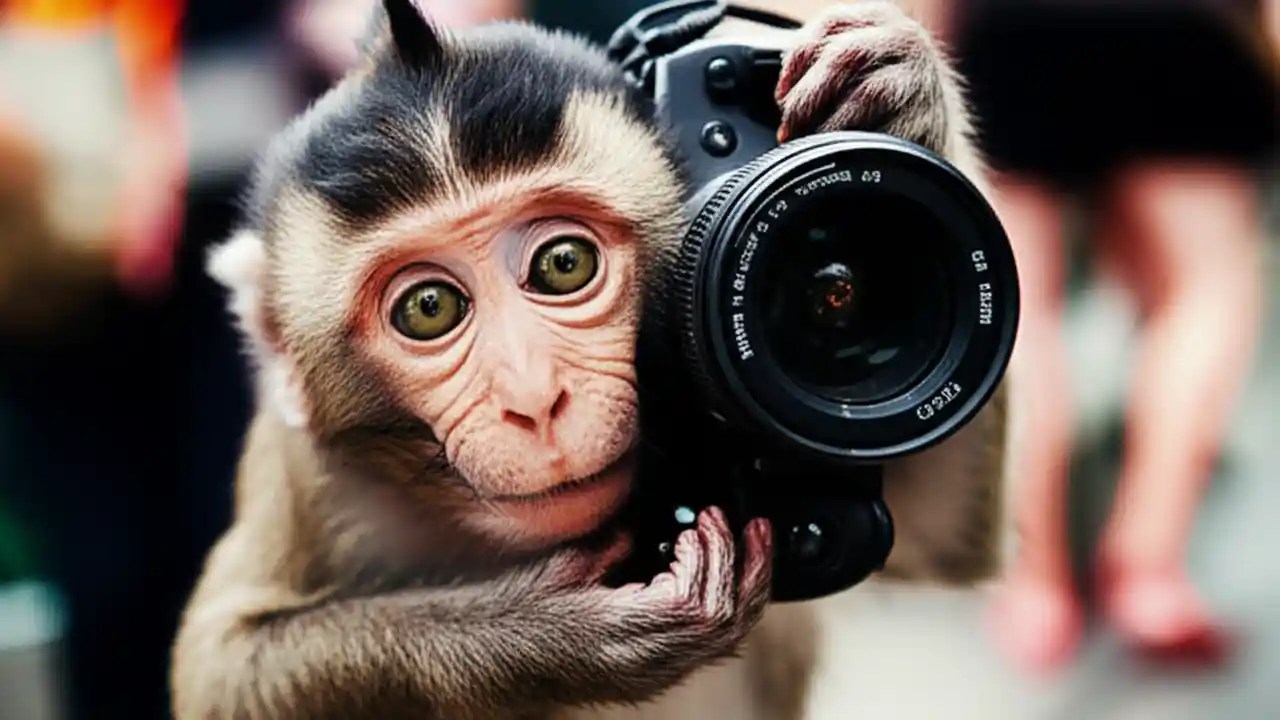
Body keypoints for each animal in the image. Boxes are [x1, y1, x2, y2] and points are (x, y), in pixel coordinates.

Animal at [171, 2, 1006, 719]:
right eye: (429, 308)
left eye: (563, 264)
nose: (536, 399)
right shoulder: (304, 471)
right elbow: (219, 669)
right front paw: (549, 631)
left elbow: (948, 538)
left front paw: (898, 80)